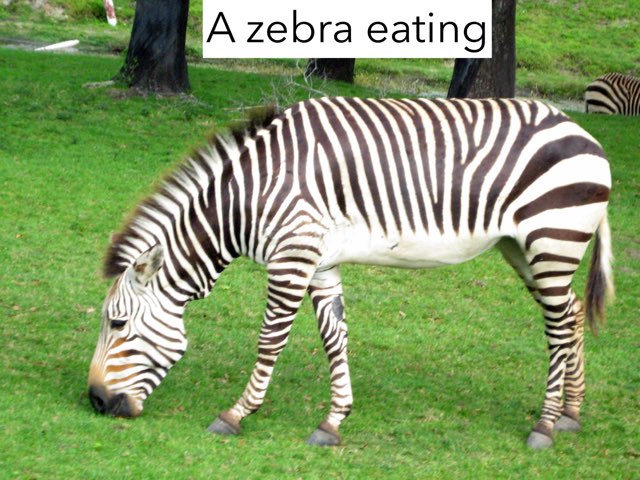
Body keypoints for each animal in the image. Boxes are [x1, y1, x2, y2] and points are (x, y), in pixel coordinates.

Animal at [88, 97, 613, 449]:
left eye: (117, 323)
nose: (94, 402)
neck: (250, 197)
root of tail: (585, 134)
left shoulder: (292, 257)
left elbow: (269, 341)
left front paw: (235, 414)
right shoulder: (320, 264)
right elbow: (334, 340)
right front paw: (332, 422)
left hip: (552, 240)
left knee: (559, 325)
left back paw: (544, 425)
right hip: (524, 249)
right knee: (569, 315)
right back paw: (570, 414)